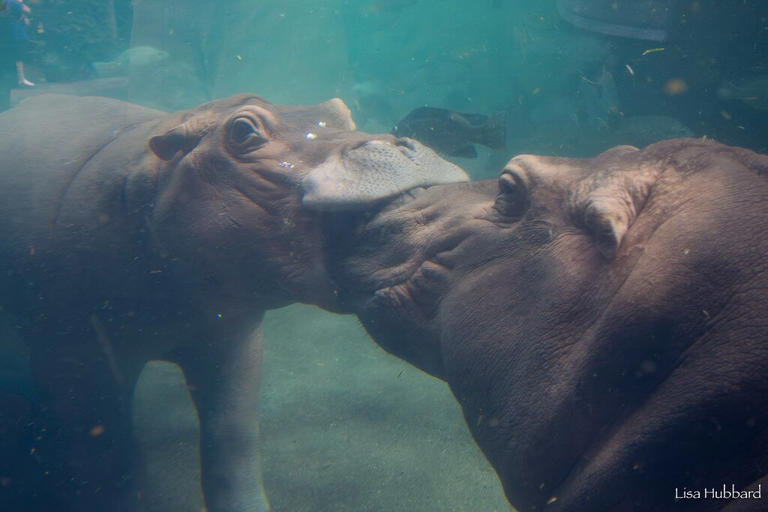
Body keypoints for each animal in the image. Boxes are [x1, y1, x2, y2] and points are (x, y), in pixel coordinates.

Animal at [0, 93, 467, 511]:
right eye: (242, 130)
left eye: (341, 109)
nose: (396, 144)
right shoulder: (78, 356)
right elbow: (104, 447)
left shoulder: (234, 336)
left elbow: (232, 438)